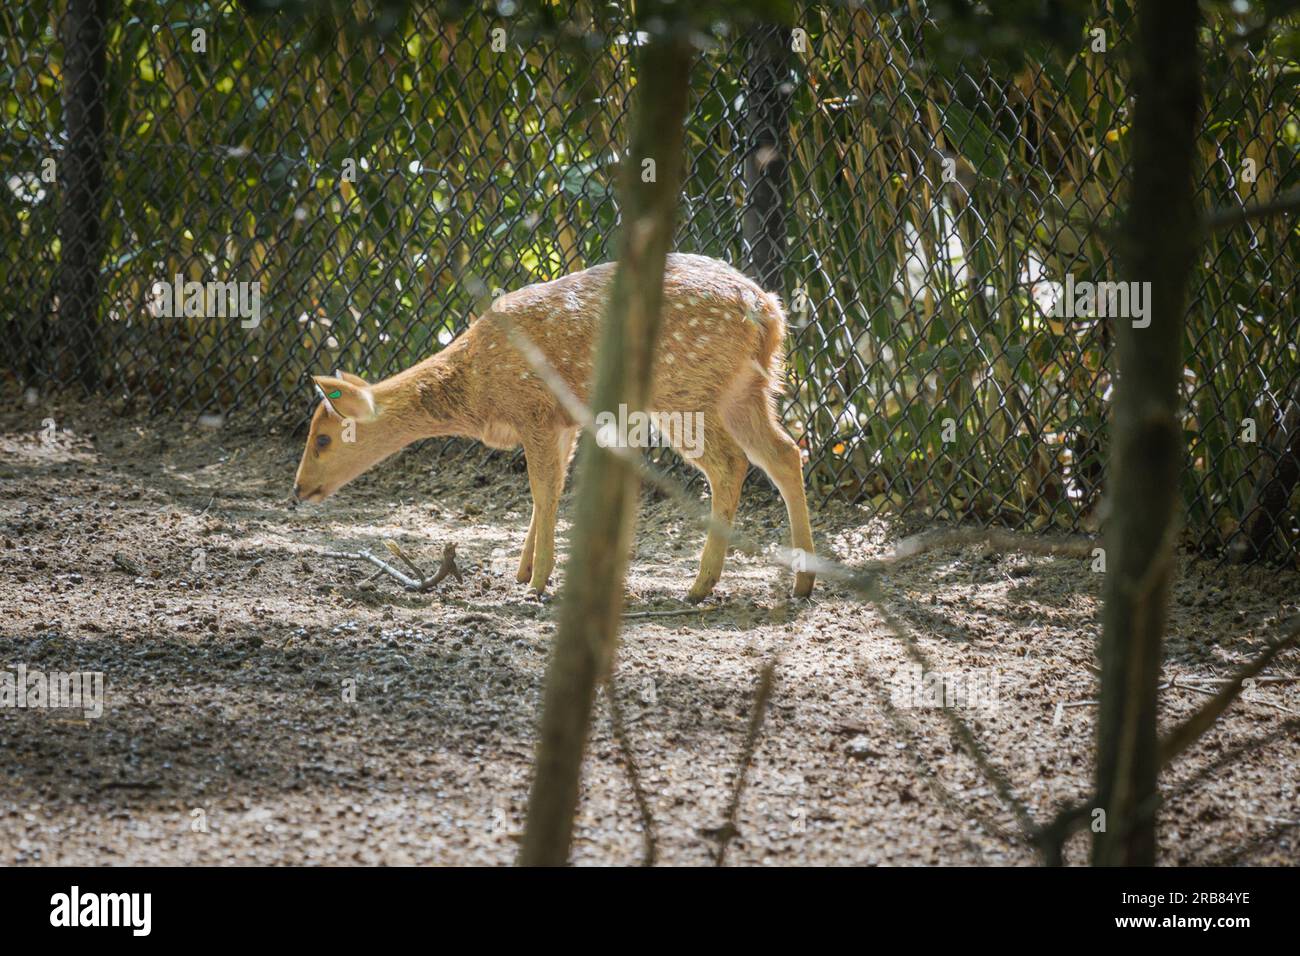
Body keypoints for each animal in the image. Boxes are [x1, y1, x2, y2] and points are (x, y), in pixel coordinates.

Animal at [293, 253, 815, 602]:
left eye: (323, 438)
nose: (298, 489)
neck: (477, 388)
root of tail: (768, 311)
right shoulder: (565, 422)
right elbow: (553, 489)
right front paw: (523, 572)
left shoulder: (535, 410)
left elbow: (542, 490)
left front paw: (539, 582)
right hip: (746, 390)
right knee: (786, 453)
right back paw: (802, 581)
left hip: (685, 392)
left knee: (731, 463)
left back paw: (700, 585)